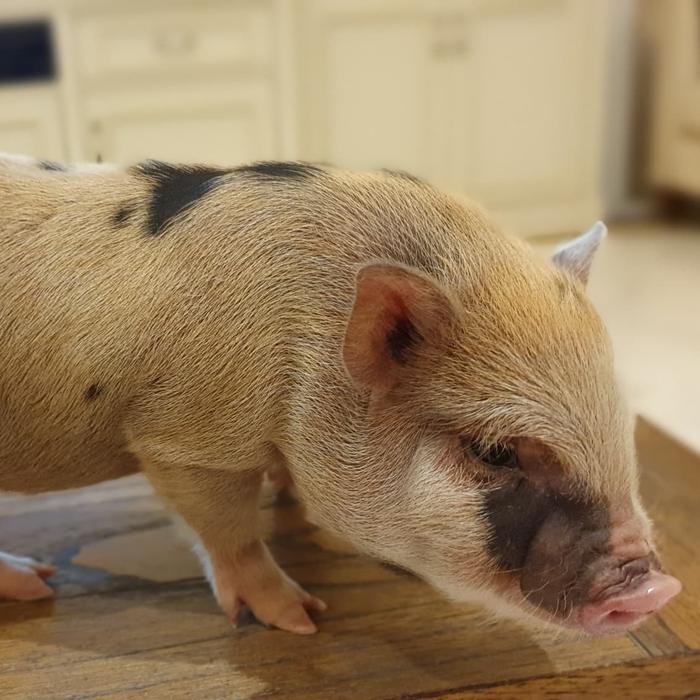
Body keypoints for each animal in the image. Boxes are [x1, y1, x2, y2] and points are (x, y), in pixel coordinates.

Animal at [0, 154, 681, 636]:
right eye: (494, 452)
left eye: (621, 424)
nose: (658, 589)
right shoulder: (183, 438)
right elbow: (231, 532)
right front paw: (304, 620)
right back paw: (40, 583)